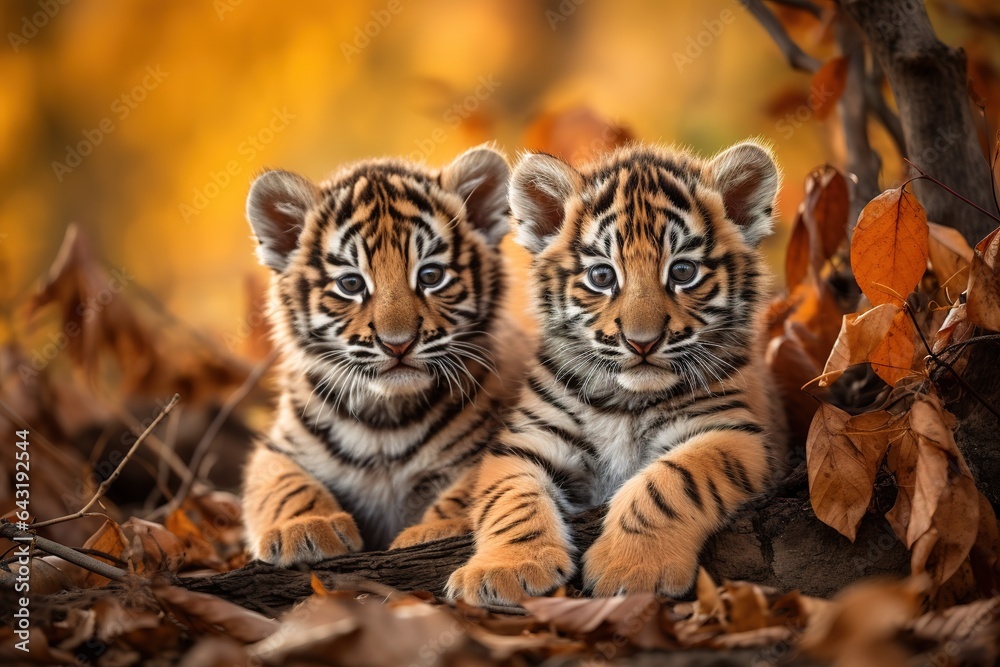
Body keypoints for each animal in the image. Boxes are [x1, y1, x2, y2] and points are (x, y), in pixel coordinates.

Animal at [241, 145, 525, 564]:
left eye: (431, 276)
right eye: (351, 284)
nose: (398, 344)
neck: (384, 423)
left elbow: (474, 484)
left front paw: (433, 530)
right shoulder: (279, 446)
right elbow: (283, 484)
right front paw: (305, 528)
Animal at [445, 140, 788, 605]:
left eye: (683, 272)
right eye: (602, 275)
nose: (642, 342)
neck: (624, 399)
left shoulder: (730, 431)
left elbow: (671, 480)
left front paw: (634, 568)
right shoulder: (526, 442)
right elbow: (509, 498)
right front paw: (504, 569)